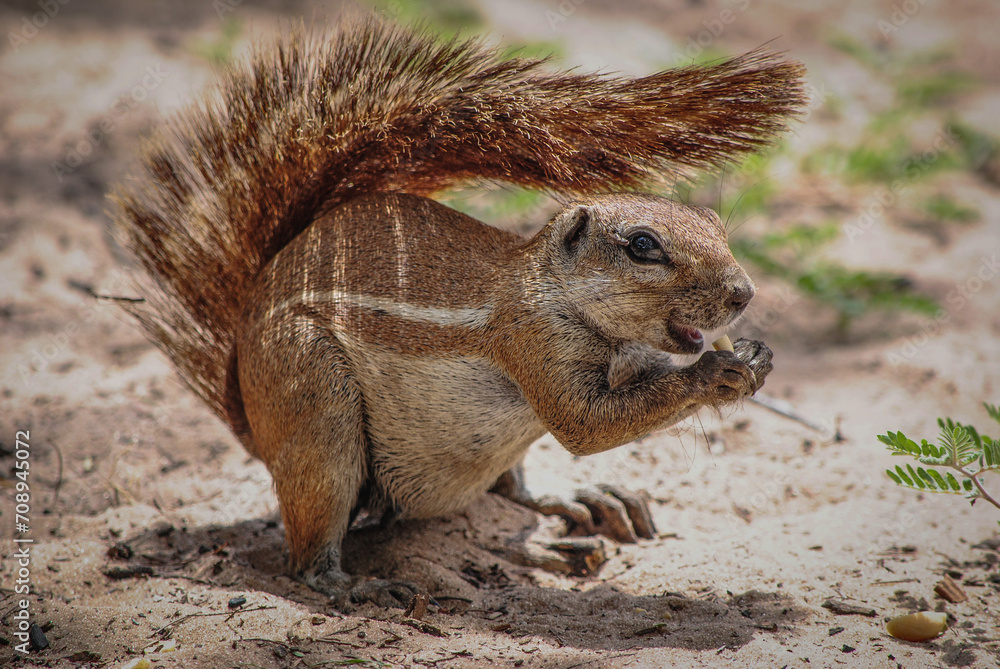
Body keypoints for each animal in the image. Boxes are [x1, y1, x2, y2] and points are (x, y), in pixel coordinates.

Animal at [113, 14, 805, 607]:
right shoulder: (531, 338)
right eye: (642, 246)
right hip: (314, 406)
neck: (552, 287)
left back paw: (581, 500)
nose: (744, 294)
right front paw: (714, 374)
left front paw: (758, 360)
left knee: (511, 488)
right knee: (308, 548)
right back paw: (354, 586)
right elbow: (584, 424)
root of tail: (249, 408)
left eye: (714, 222)